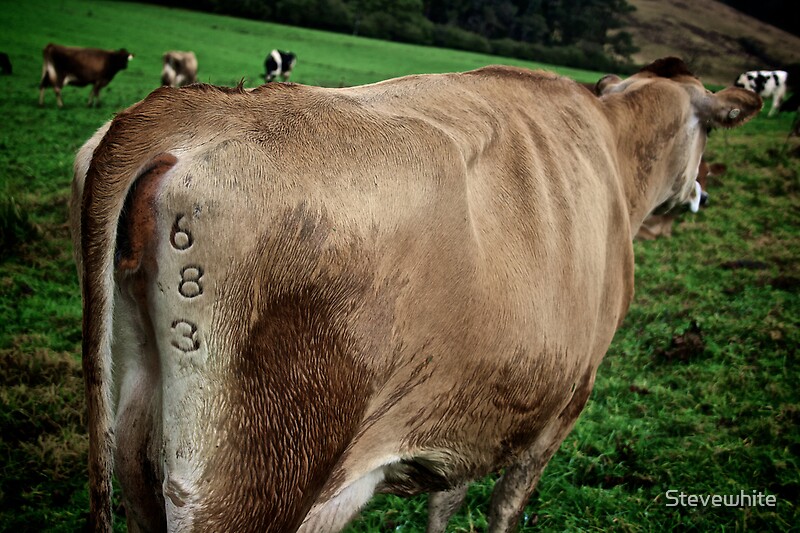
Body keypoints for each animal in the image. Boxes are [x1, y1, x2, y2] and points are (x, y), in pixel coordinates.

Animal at [71, 57, 760, 532]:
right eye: (703, 132)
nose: (698, 194)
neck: (615, 152)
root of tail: (197, 109)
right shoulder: (560, 408)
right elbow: (505, 507)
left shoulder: (470, 408)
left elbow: (443, 502)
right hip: (251, 476)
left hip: (138, 439)